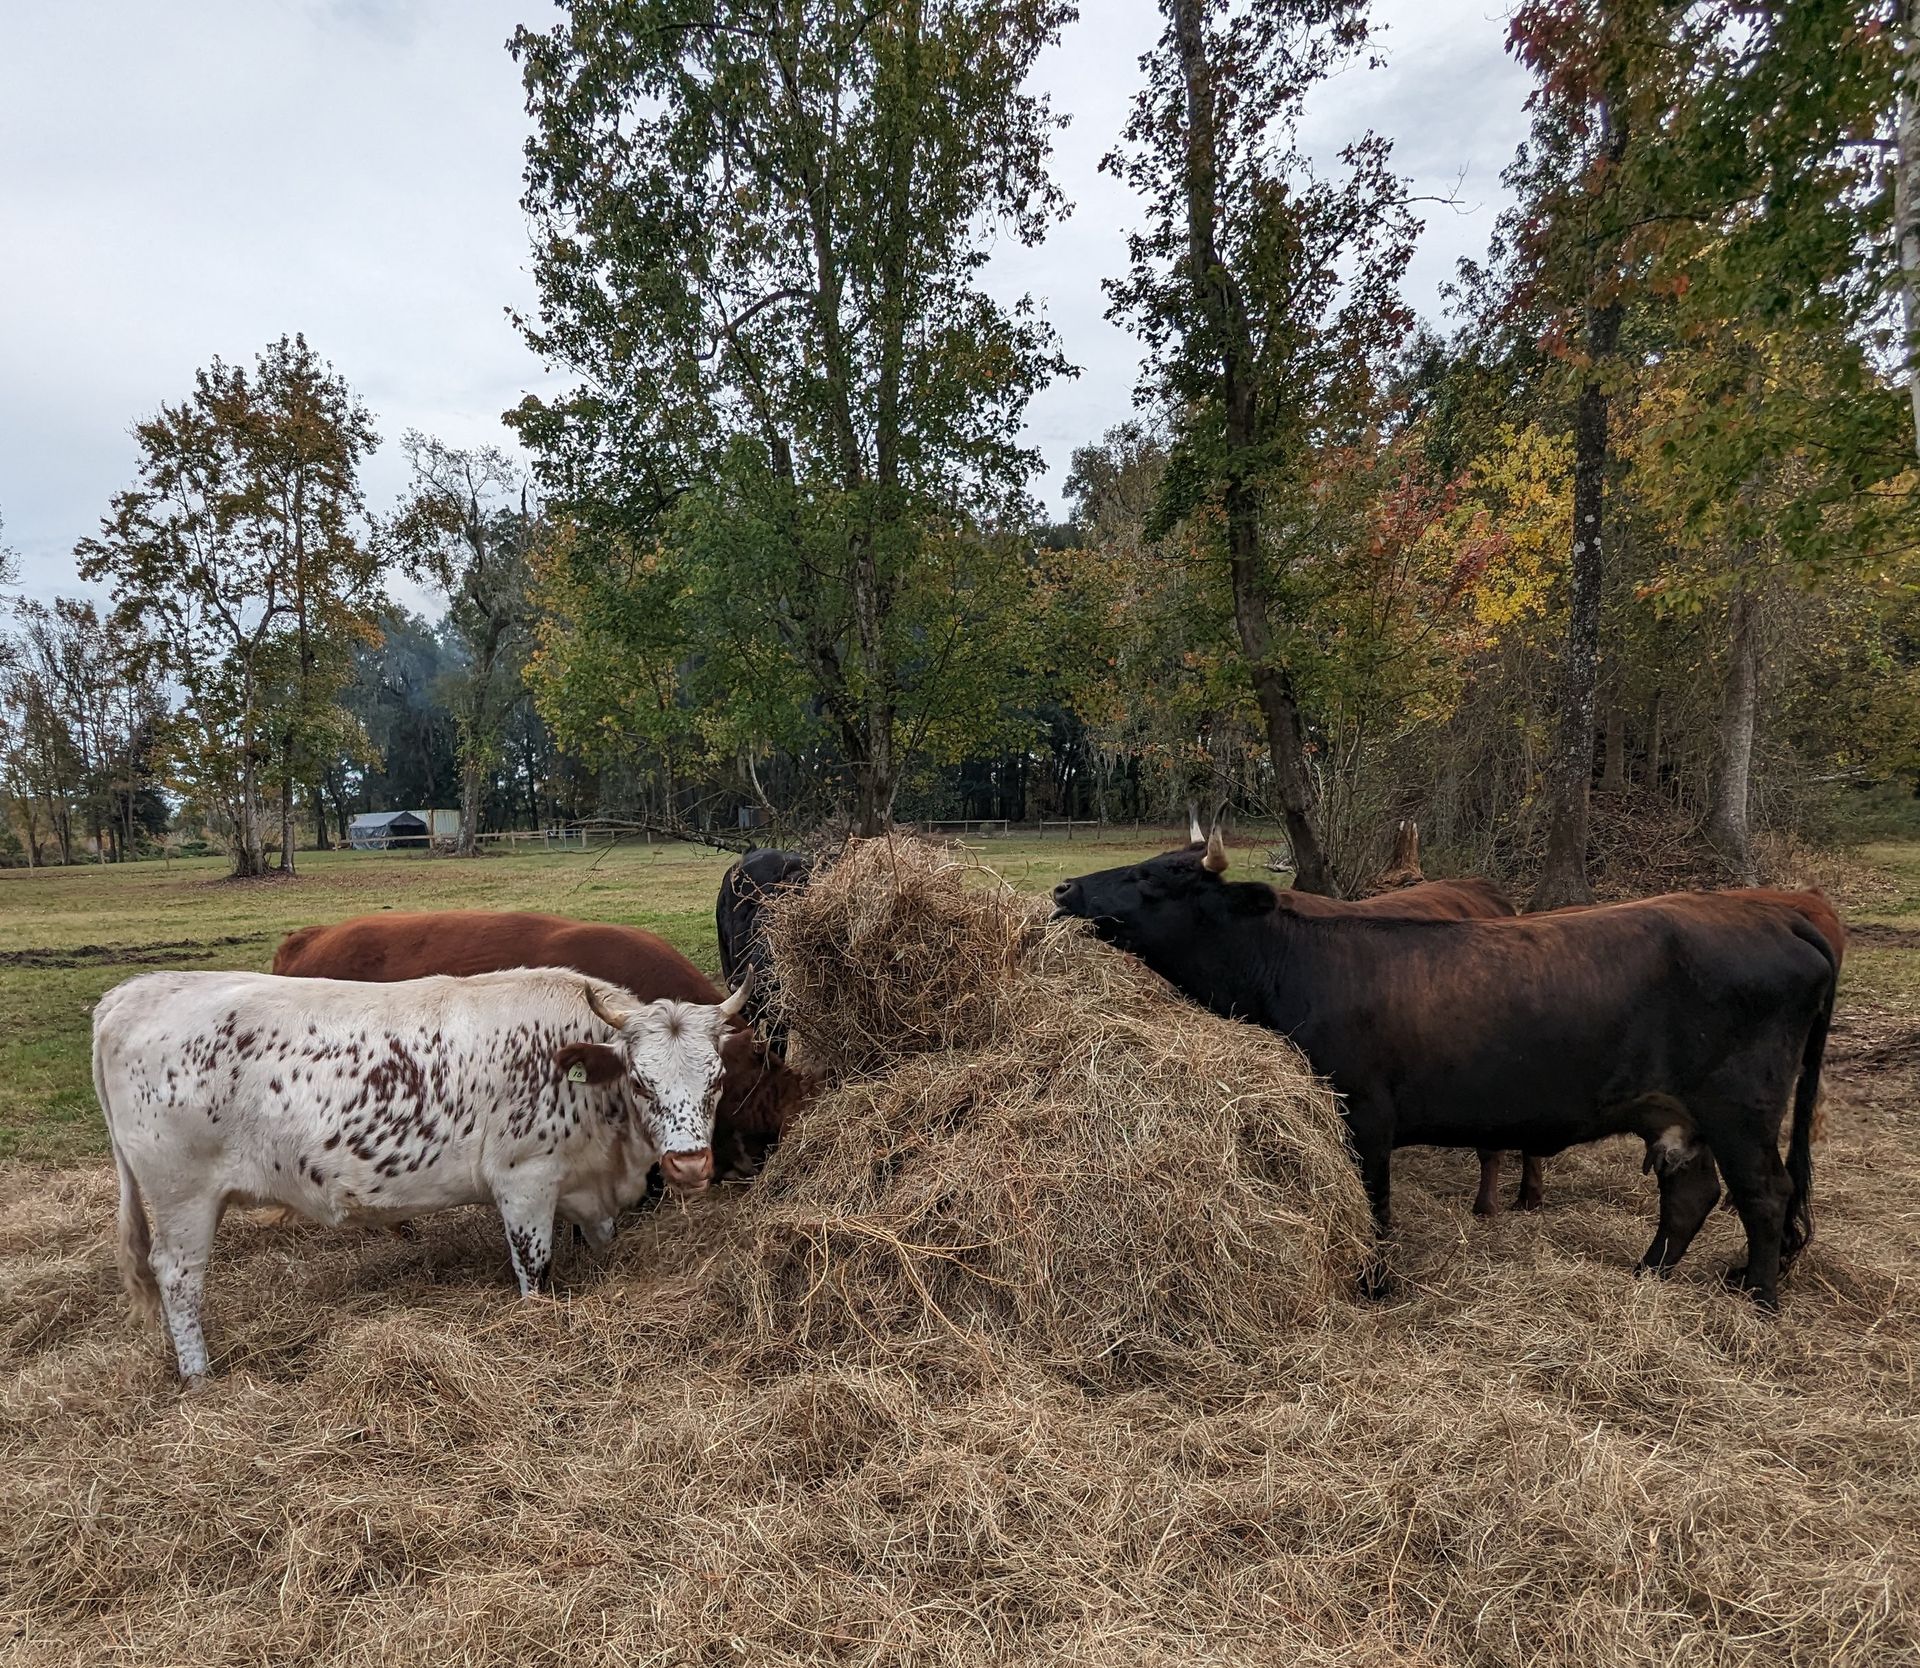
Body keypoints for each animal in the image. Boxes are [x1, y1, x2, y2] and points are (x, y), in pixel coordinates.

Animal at [94, 967, 749, 1380]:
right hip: (182, 1195)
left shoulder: (587, 1188)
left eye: (717, 1079)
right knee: (177, 1278)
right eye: (641, 1081)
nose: (690, 1164)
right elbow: (533, 1271)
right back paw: (198, 1376)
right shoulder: (524, 1182)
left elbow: (602, 1240)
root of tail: (132, 993)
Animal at [1052, 830, 1837, 1310]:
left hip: (1741, 1110)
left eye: (1155, 879)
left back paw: (1759, 1299)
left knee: (1766, 1194)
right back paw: (1650, 1274)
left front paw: (1373, 1283)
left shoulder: (1364, 1112)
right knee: (1692, 1194)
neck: (1295, 961)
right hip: (1679, 1115)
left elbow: (1375, 1202)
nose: (1063, 891)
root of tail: (1783, 917)